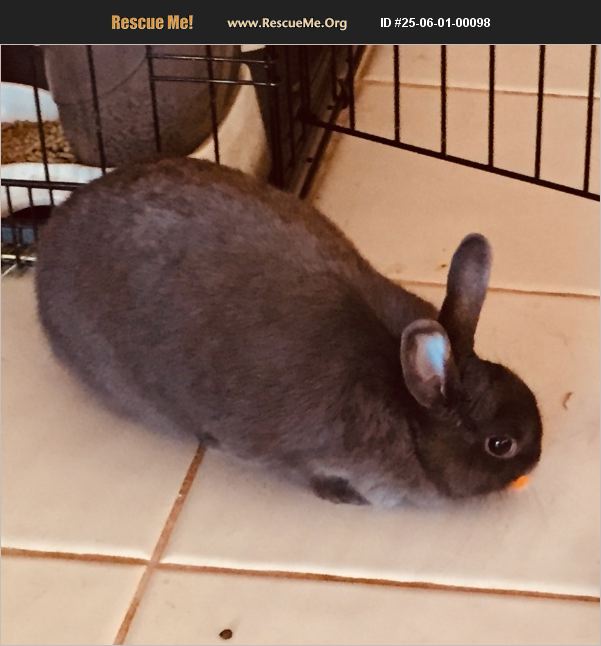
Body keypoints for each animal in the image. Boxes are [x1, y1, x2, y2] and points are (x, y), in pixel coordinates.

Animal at [34, 157, 542, 508]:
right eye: (501, 445)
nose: (535, 460)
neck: (405, 404)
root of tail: (49, 245)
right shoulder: (304, 454)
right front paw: (346, 498)